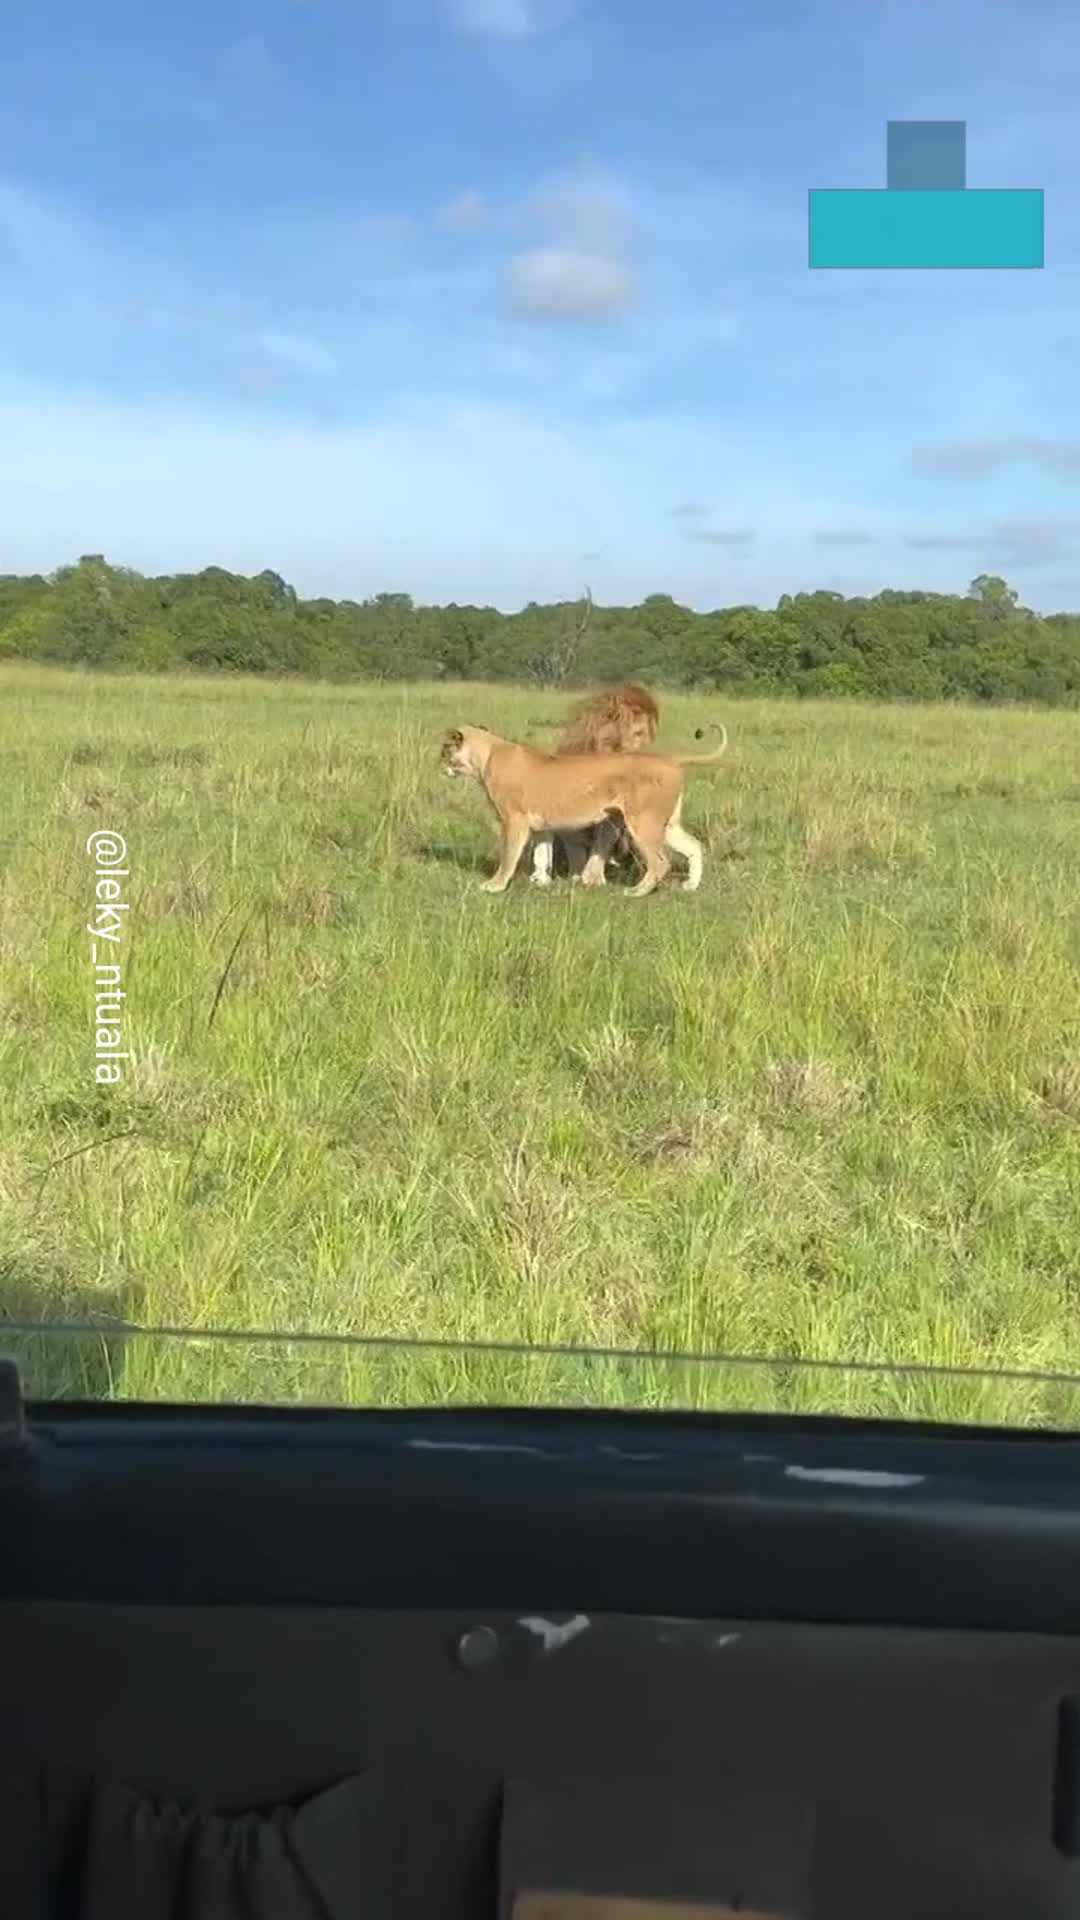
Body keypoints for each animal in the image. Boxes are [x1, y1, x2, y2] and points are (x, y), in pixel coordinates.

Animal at [440, 723, 729, 898]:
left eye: (445, 749)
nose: (439, 762)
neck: (487, 754)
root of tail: (669, 759)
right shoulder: (541, 824)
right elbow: (542, 854)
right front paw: (540, 882)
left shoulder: (514, 820)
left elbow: (509, 855)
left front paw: (495, 885)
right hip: (666, 824)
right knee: (695, 846)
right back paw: (690, 886)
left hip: (642, 822)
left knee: (660, 861)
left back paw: (636, 892)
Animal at [532, 683, 660, 888]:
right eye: (639, 733)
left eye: (645, 736)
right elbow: (574, 845)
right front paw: (576, 876)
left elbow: (603, 841)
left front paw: (592, 879)